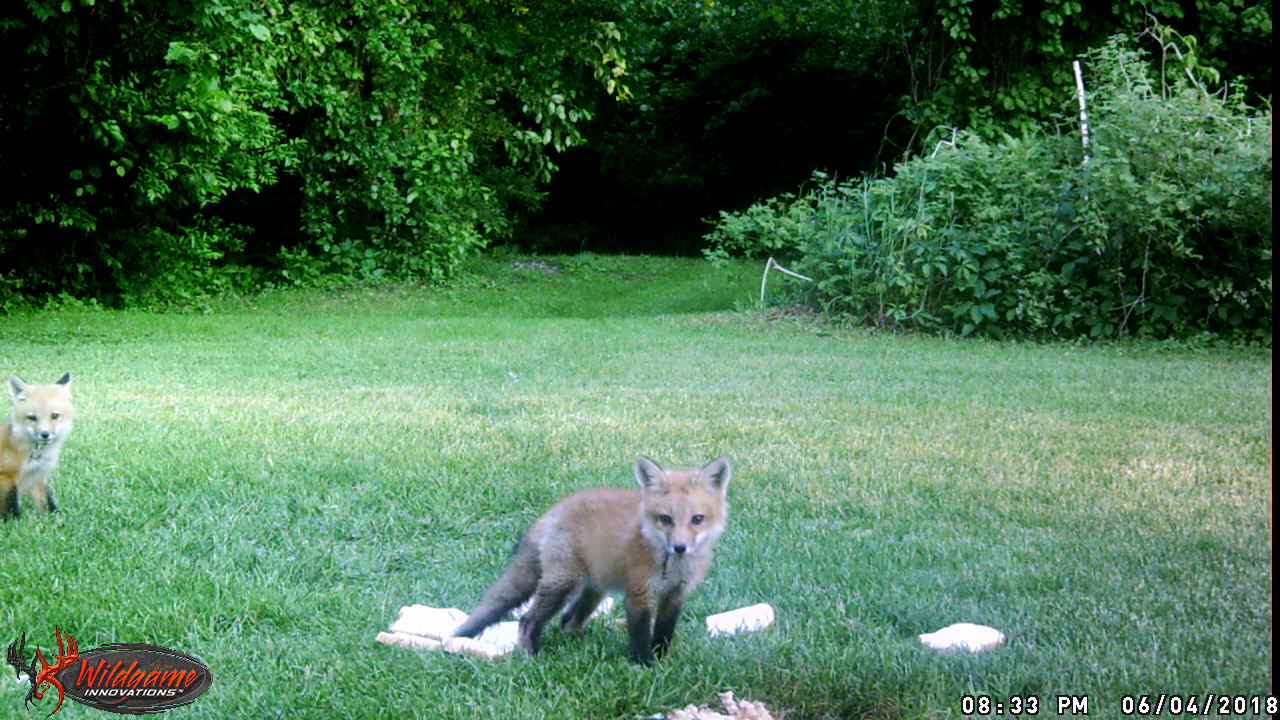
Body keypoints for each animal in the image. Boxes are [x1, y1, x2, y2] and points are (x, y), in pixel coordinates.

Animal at [1, 374, 74, 520]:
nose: (45, 434)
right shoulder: (7, 476)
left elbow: (47, 503)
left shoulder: (38, 475)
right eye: (32, 418)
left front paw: (57, 519)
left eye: (54, 416)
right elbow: (11, 509)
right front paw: (14, 522)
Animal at [453, 456, 732, 665]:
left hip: (593, 589)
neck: (671, 567)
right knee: (528, 620)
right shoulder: (639, 593)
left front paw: (662, 660)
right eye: (665, 519)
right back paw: (531, 656)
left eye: (697, 519)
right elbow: (641, 634)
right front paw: (645, 665)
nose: (680, 547)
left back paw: (580, 644)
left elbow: (664, 632)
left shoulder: (675, 595)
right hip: (562, 583)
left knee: (568, 621)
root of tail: (555, 510)